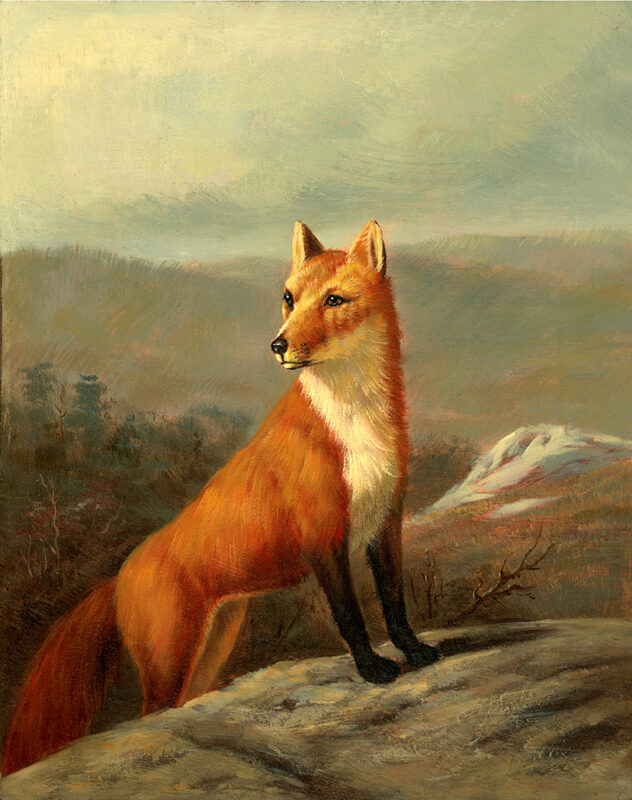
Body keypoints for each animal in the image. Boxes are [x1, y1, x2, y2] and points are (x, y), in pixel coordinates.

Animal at [2, 219, 438, 776]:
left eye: (335, 299)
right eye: (289, 298)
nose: (278, 345)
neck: (356, 429)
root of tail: (118, 575)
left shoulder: (384, 524)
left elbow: (394, 604)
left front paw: (415, 652)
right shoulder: (324, 537)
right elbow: (352, 618)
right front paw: (372, 670)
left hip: (211, 652)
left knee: (186, 703)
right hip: (170, 661)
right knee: (150, 714)